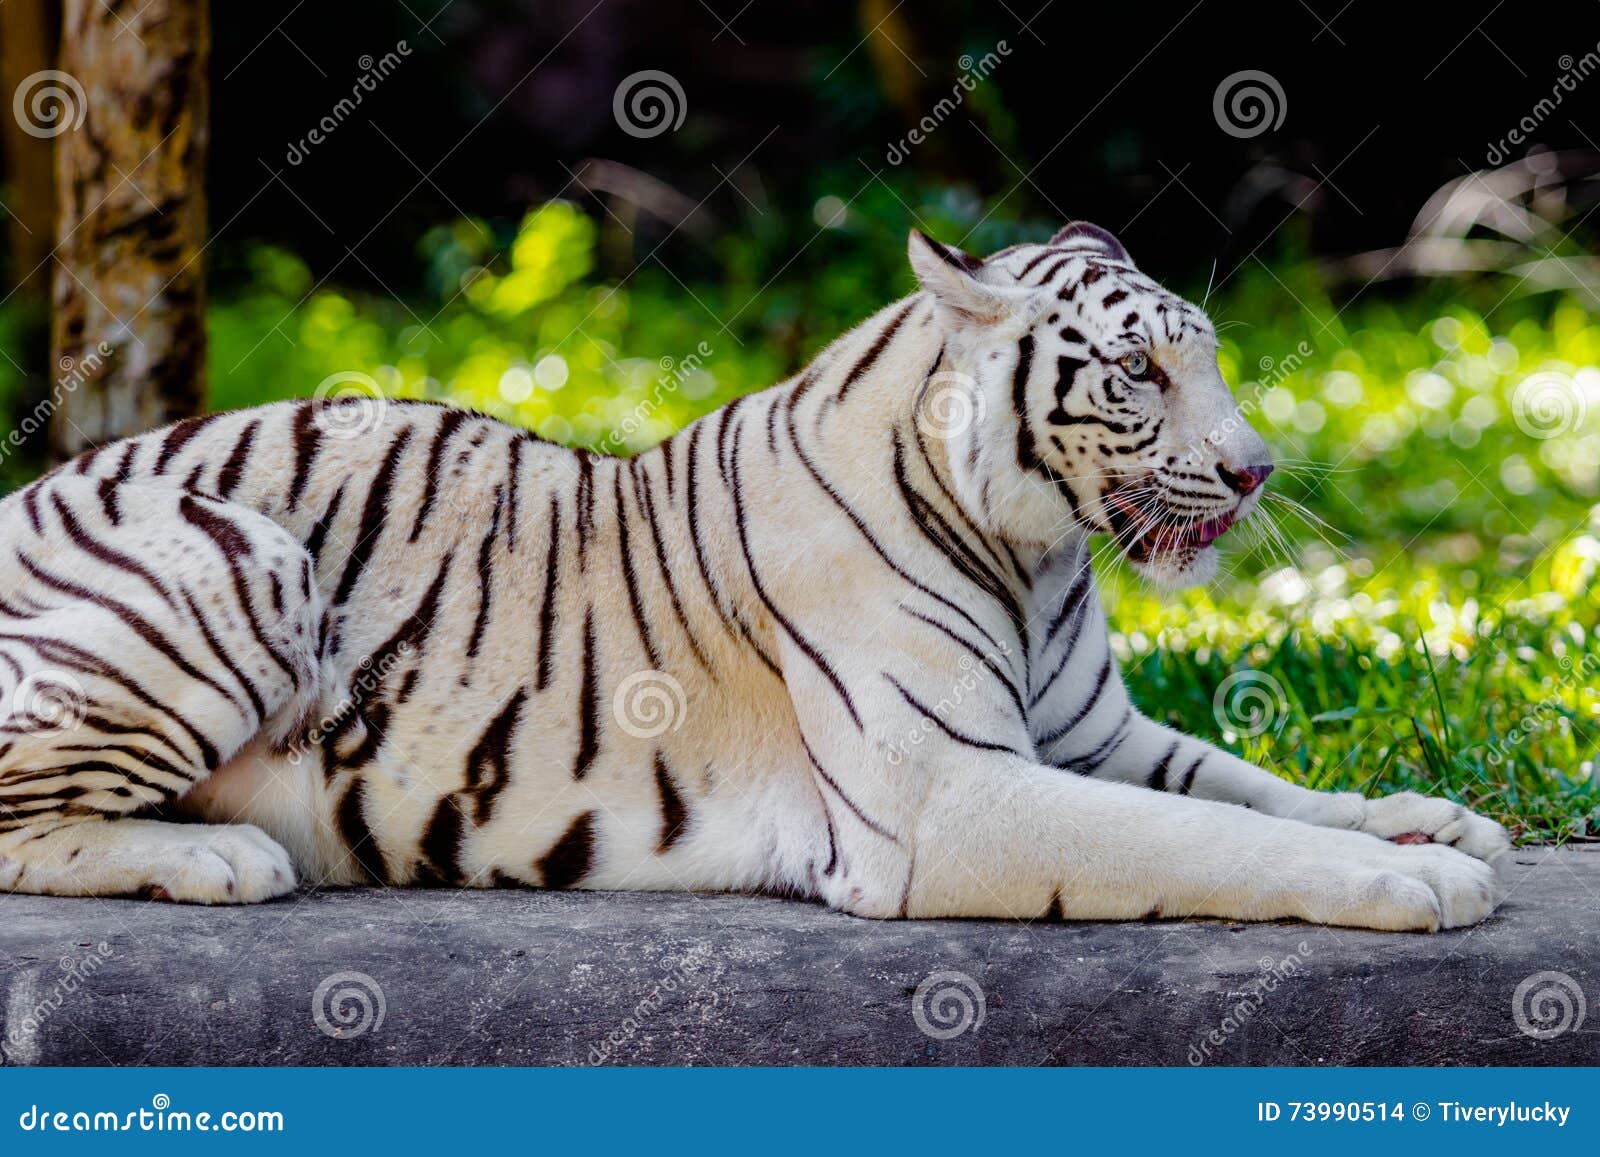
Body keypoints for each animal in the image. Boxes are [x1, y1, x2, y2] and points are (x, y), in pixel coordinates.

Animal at [0, 221, 1509, 931]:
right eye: (1141, 370)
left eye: (1208, 359)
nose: (1256, 473)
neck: (1038, 555)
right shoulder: (947, 796)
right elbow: (1212, 836)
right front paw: (1423, 882)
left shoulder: (1095, 734)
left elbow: (1251, 785)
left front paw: (1435, 821)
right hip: (239, 559)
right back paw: (217, 855)